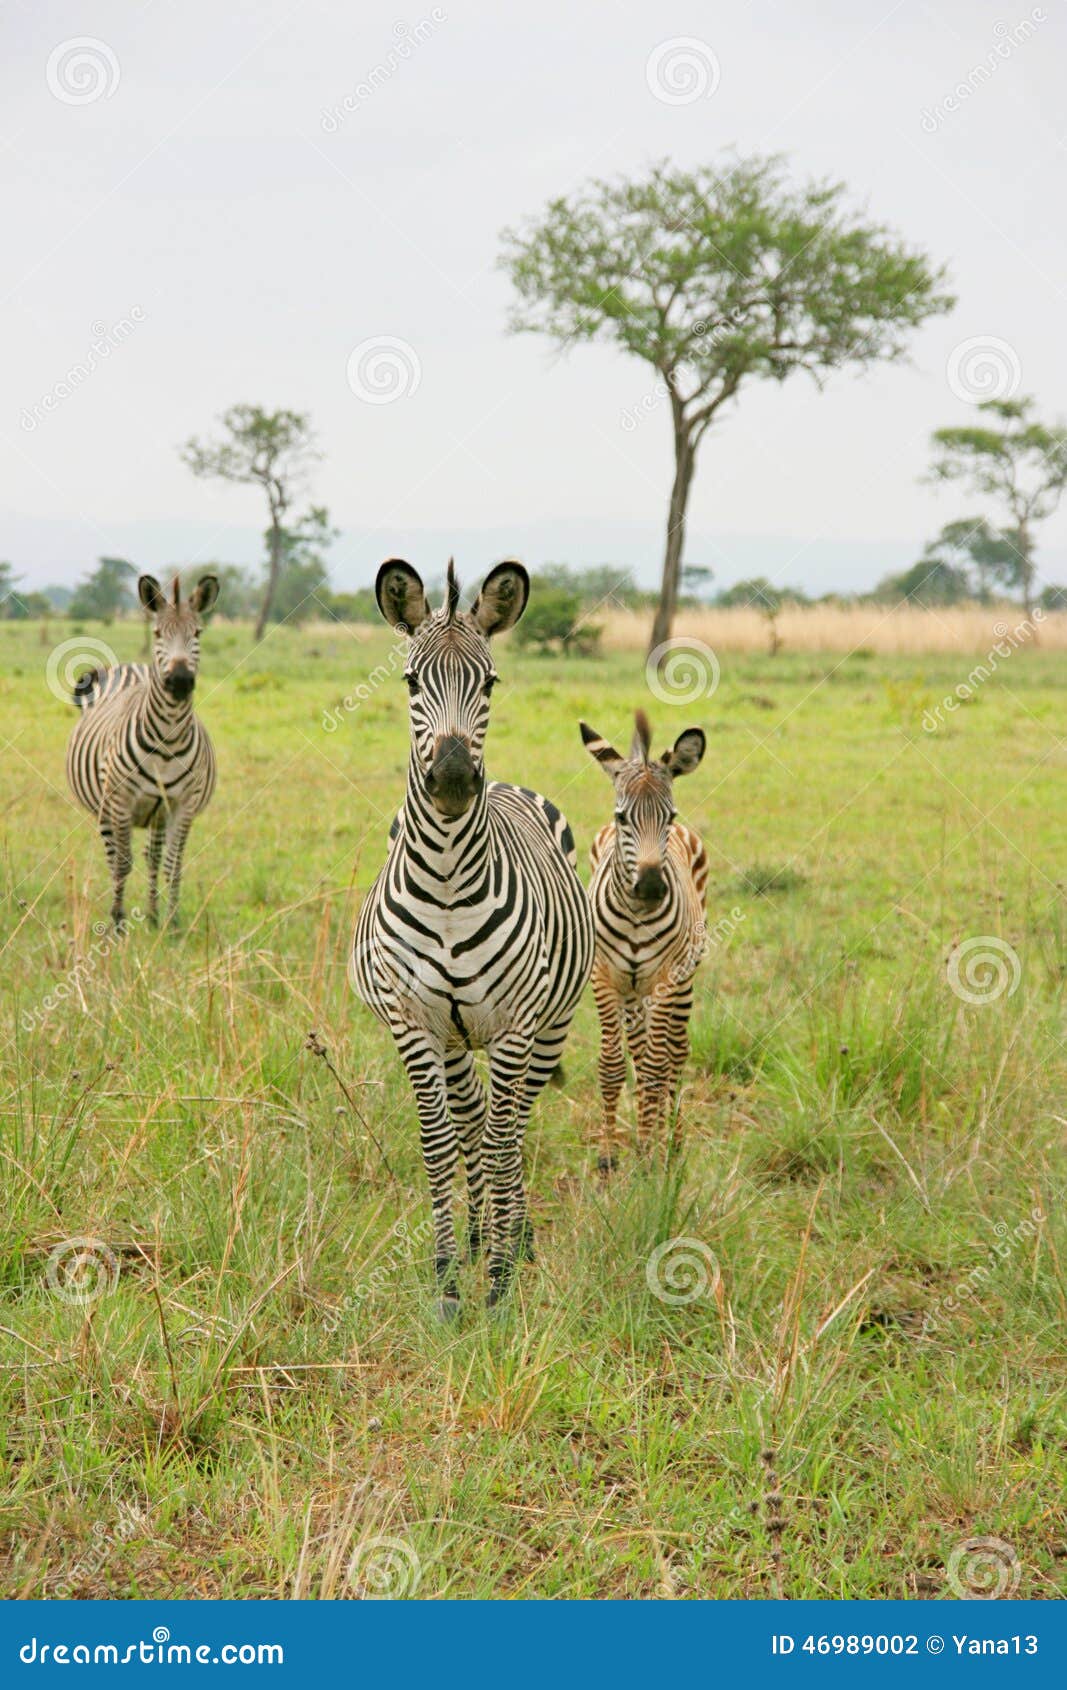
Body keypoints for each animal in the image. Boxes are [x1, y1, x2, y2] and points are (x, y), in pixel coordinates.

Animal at [66, 573, 219, 931]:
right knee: (114, 857)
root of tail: (129, 666)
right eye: (158, 633)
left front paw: (172, 922)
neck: (168, 739)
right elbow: (123, 863)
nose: (180, 681)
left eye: (198, 633)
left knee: (153, 857)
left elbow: (172, 865)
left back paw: (152, 914)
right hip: (107, 807)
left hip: (156, 814)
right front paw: (118, 924)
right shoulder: (122, 801)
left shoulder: (181, 805)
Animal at [351, 558, 594, 1313]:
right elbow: (440, 1143)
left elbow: (499, 1141)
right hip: (460, 1041)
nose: (455, 778)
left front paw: (498, 1285)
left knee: (510, 1126)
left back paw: (513, 1239)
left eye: (488, 683)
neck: (452, 881)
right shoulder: (415, 1025)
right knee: (472, 1118)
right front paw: (448, 1275)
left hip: (550, 1026)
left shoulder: (514, 1026)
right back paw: (484, 1233)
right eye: (409, 682)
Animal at [580, 709, 708, 1169]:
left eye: (669, 816)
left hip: (683, 979)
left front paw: (650, 1154)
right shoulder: (603, 977)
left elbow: (655, 1067)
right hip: (634, 991)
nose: (651, 888)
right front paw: (608, 1153)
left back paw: (672, 1140)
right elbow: (612, 1064)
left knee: (675, 1054)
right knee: (640, 1049)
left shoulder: (667, 979)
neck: (638, 916)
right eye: (622, 818)